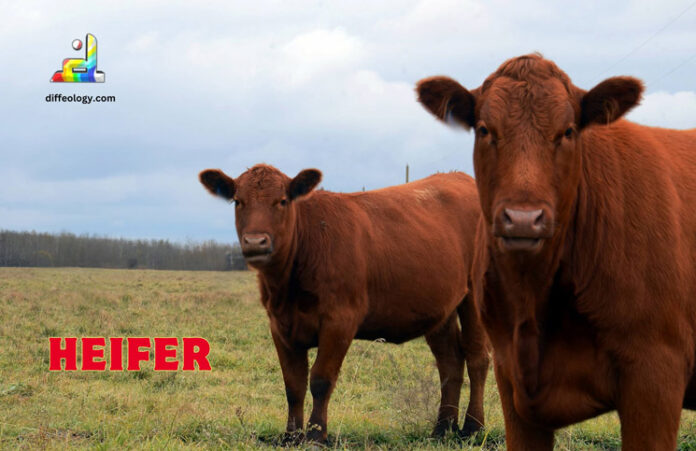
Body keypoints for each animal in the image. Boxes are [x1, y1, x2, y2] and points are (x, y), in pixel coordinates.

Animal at [199, 164, 489, 444]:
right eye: (238, 201)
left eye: (282, 201)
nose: (256, 242)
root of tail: (460, 177)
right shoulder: (280, 325)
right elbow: (293, 385)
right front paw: (291, 436)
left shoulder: (340, 321)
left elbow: (320, 380)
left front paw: (316, 435)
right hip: (441, 308)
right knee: (450, 361)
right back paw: (442, 429)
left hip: (475, 297)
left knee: (477, 359)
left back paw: (473, 428)